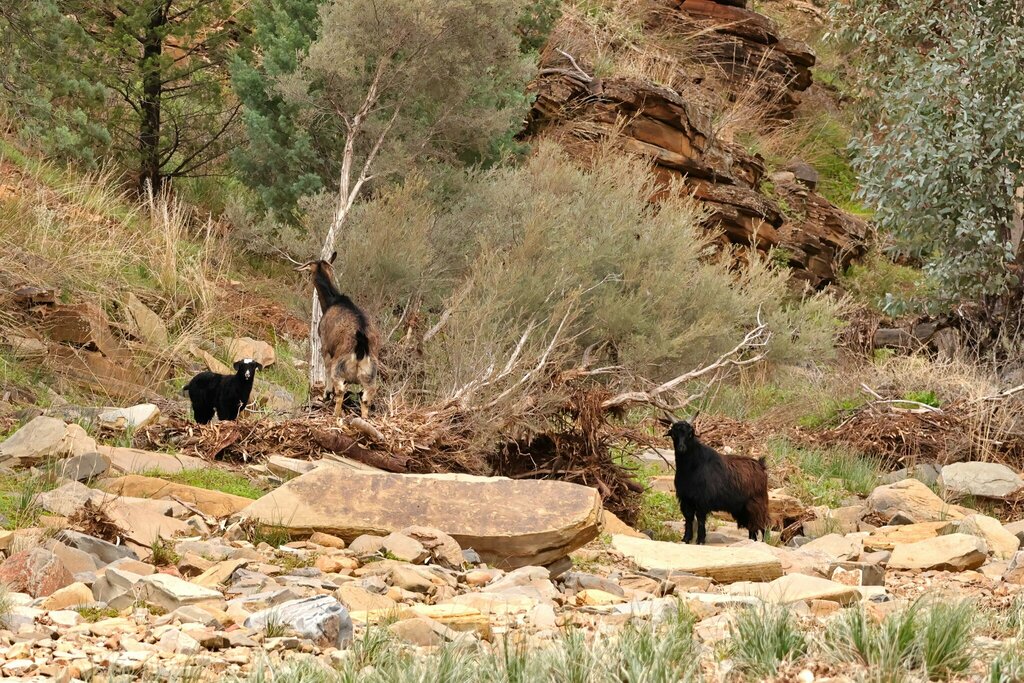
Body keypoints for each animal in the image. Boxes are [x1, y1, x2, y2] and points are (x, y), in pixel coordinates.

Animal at [296, 252, 379, 419]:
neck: (332, 302)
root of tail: (361, 348)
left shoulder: (325, 347)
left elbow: (326, 369)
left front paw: (326, 394)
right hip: (370, 375)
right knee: (365, 398)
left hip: (339, 367)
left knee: (340, 389)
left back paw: (335, 412)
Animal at [662, 415, 769, 545]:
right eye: (673, 434)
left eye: (690, 434)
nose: (681, 448)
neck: (692, 467)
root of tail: (760, 465)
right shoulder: (685, 499)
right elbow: (689, 518)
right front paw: (686, 538)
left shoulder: (701, 500)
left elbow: (700, 519)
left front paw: (700, 540)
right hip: (744, 510)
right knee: (752, 528)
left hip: (757, 505)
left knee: (762, 526)